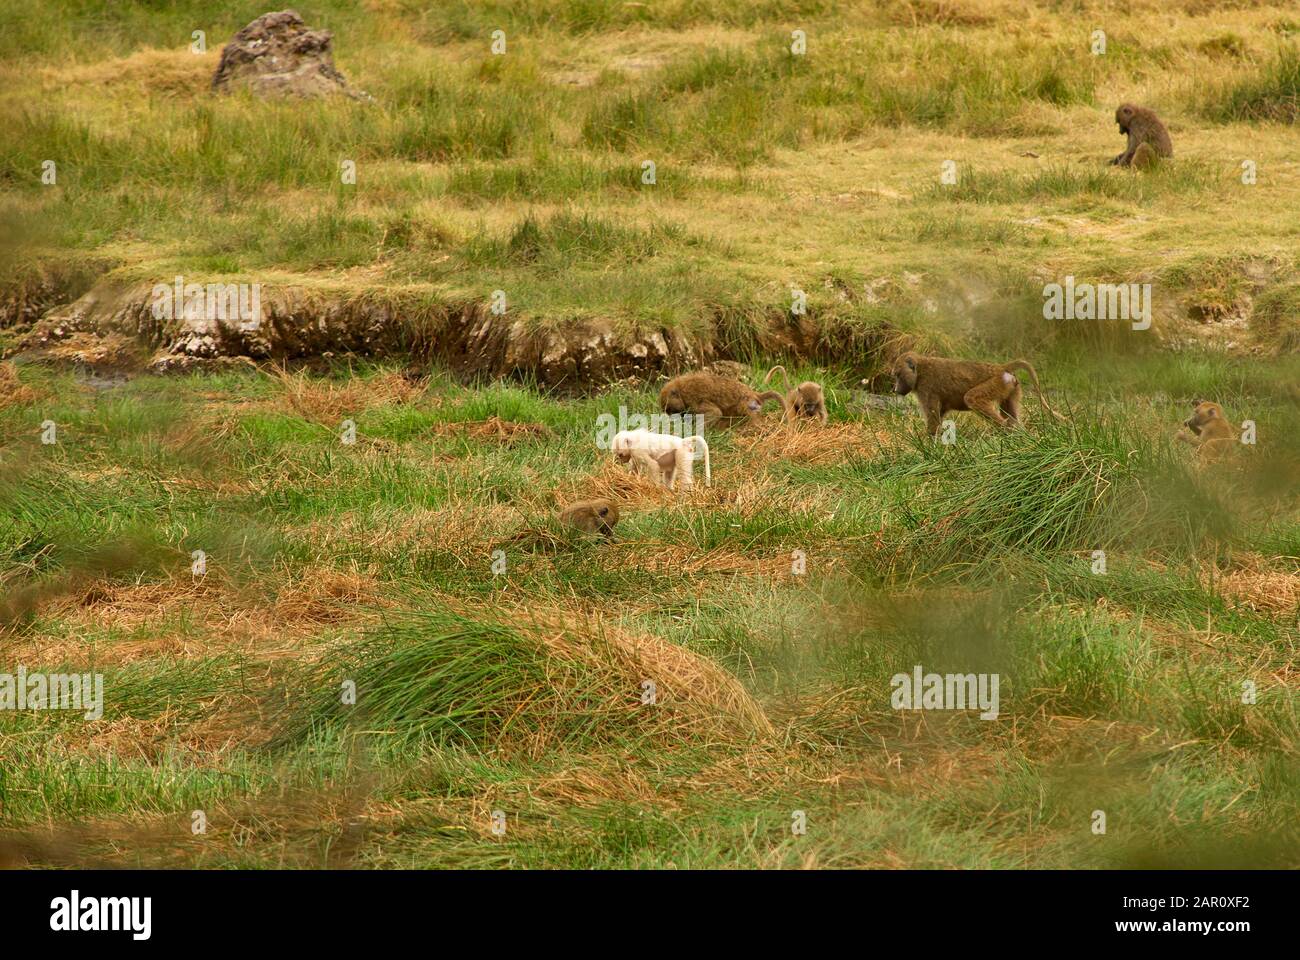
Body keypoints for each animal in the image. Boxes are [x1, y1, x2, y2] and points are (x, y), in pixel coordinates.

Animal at [658, 372, 787, 428]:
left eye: (670, 410)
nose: (672, 419)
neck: (681, 390)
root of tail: (752, 393)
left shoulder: (693, 401)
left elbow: (715, 413)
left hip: (746, 402)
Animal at [890, 351, 1067, 436]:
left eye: (898, 375)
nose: (896, 389)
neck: (920, 370)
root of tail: (1001, 368)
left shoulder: (926, 388)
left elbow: (934, 420)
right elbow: (939, 415)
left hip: (995, 383)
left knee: (971, 398)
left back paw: (1007, 432)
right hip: (1009, 387)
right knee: (1010, 413)